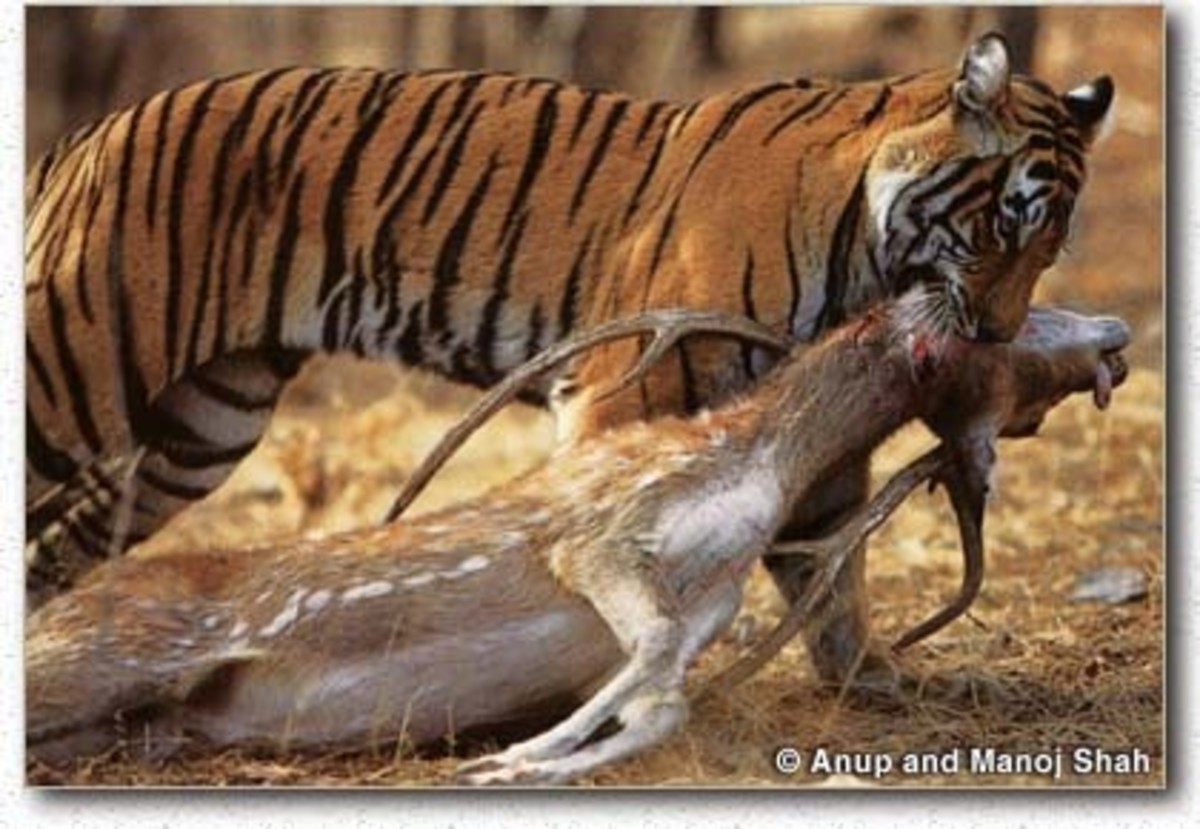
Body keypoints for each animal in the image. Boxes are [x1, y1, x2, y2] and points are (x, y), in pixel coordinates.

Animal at [26, 32, 1114, 691]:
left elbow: (829, 567)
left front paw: (872, 678)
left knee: (60, 541)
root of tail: (84, 135)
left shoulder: (820, 429)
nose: (995, 336)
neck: (863, 242)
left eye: (1053, 246)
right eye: (1003, 225)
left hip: (198, 429)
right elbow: (609, 548)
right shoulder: (633, 387)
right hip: (76, 368)